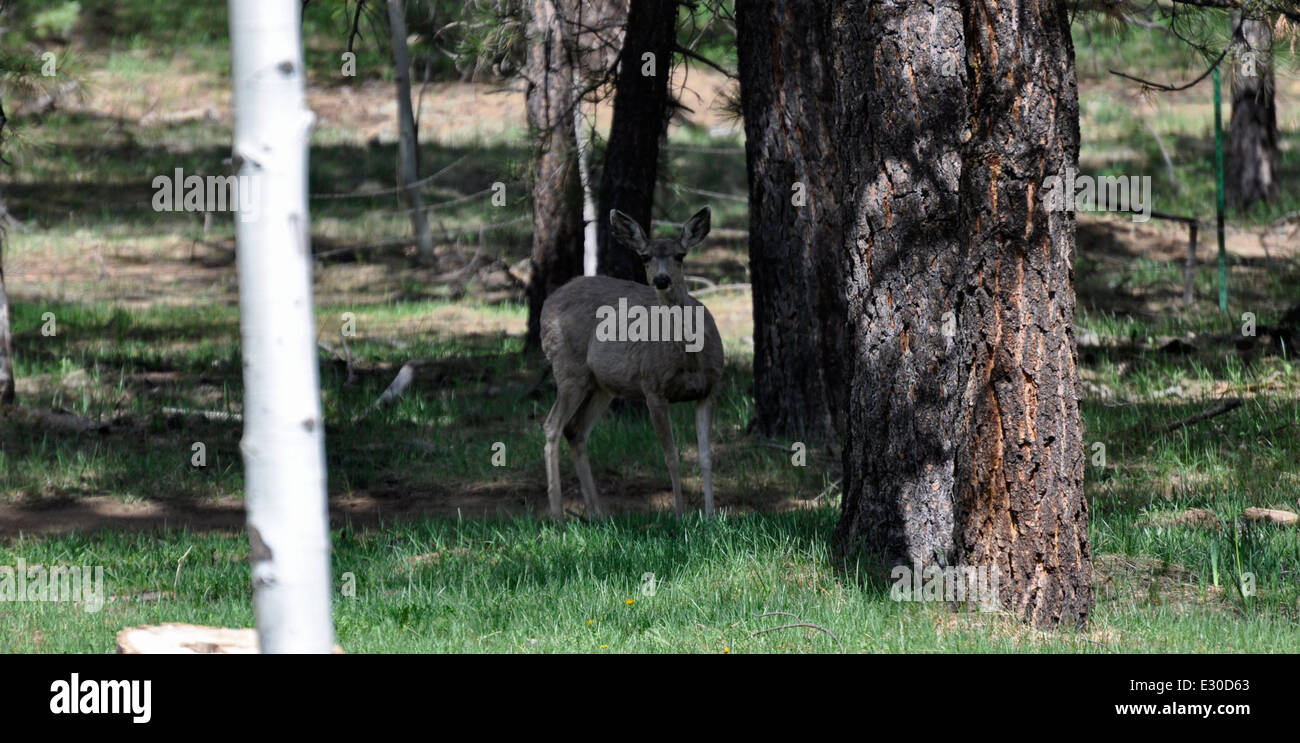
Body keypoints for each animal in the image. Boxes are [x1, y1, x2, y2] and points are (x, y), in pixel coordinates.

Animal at [540, 206, 724, 521]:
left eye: (680, 255)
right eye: (645, 257)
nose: (661, 280)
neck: (690, 356)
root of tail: (546, 304)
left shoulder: (709, 389)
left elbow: (705, 455)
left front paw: (711, 516)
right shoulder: (653, 388)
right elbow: (671, 456)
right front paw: (680, 515)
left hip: (602, 385)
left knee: (575, 429)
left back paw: (597, 514)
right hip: (568, 368)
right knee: (552, 426)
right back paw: (558, 516)